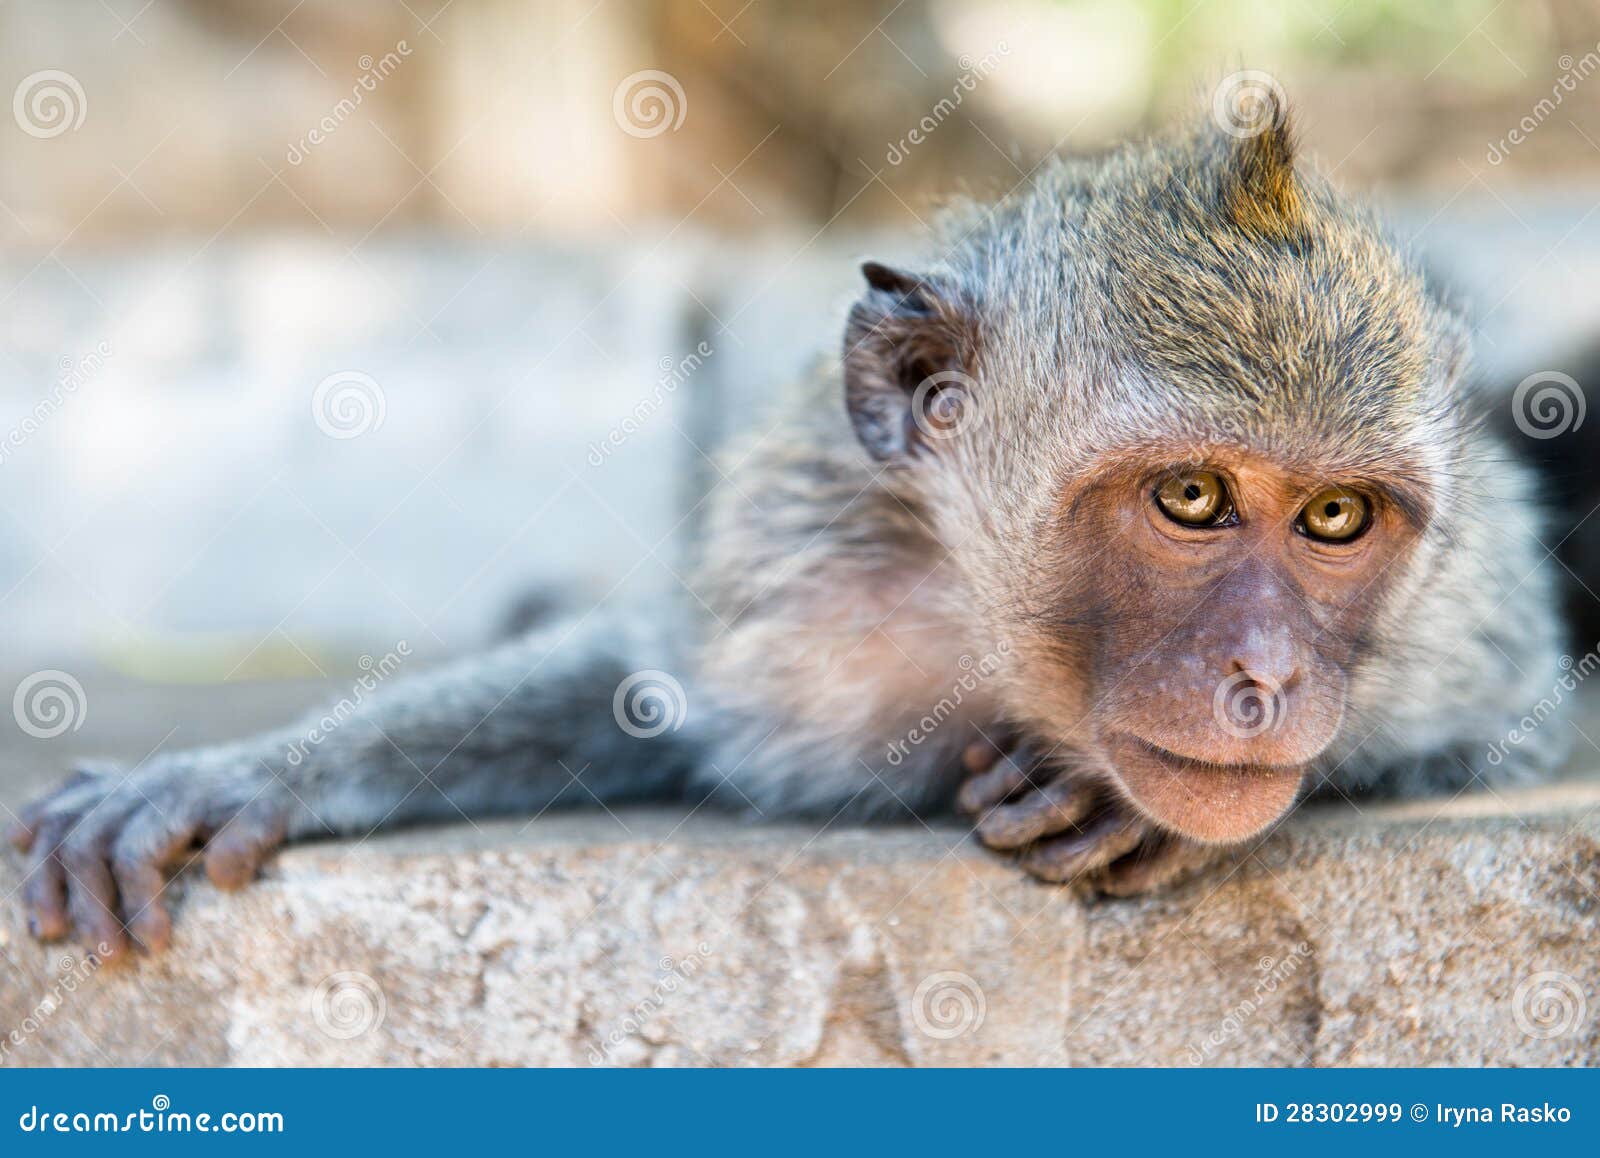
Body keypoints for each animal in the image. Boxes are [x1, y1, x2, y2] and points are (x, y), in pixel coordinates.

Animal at [8, 95, 1571, 959]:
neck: (992, 629)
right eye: (1189, 497)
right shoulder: (804, 597)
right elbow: (637, 690)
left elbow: (1531, 725)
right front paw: (251, 766)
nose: (1270, 675)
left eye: (1334, 516)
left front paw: (1109, 801)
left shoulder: (1451, 622)